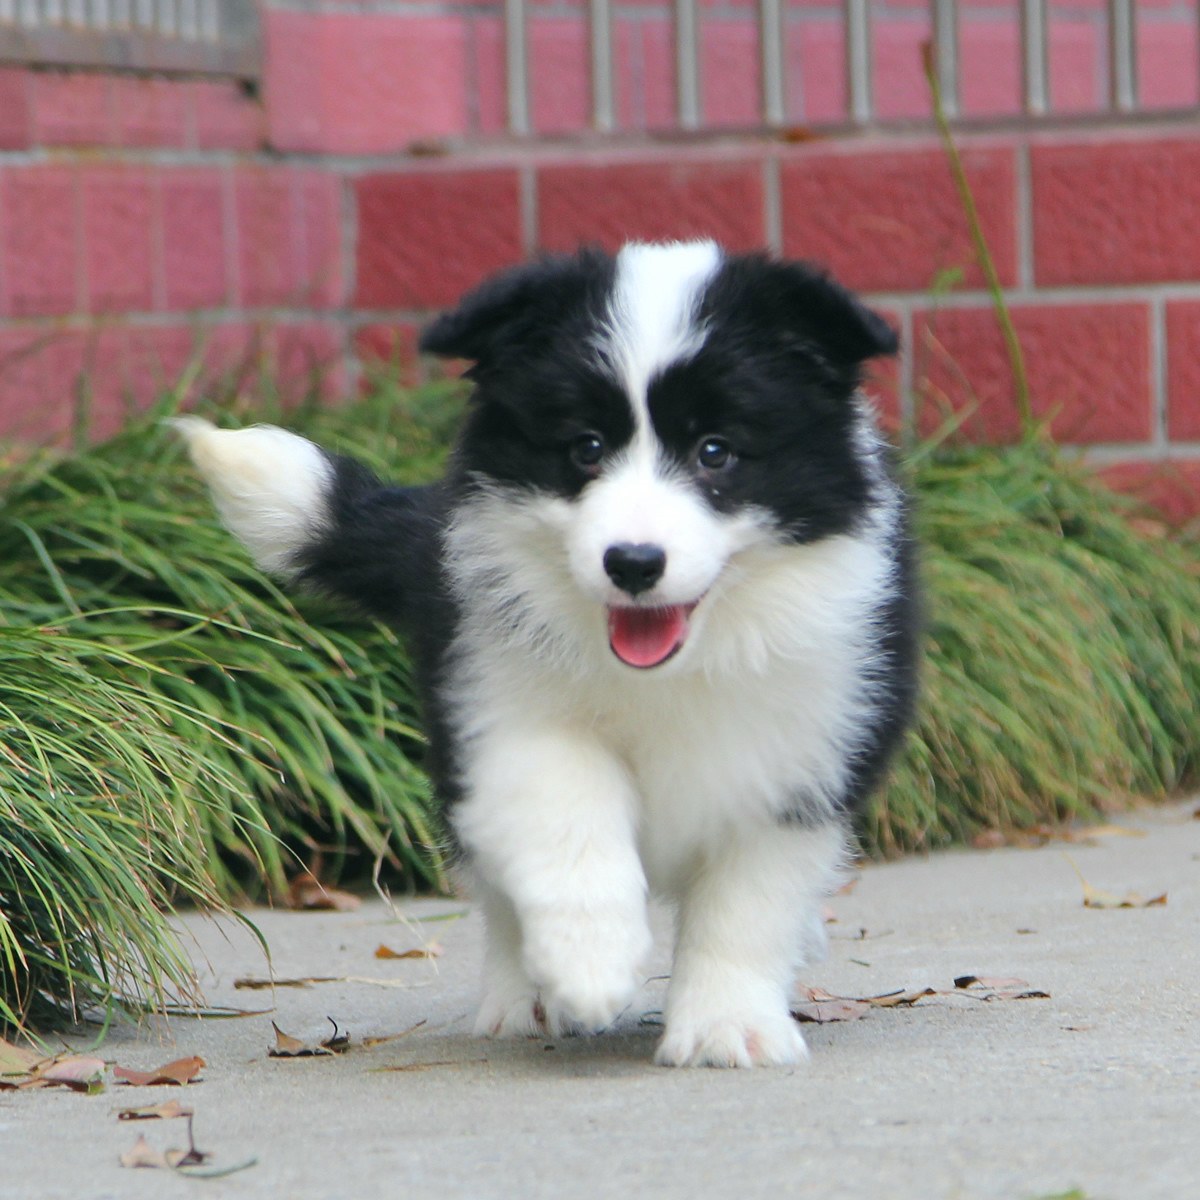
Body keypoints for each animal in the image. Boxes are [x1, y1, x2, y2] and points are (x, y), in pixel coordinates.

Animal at [175, 241, 916, 1070]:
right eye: (585, 448)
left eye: (715, 452)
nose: (633, 563)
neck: (670, 668)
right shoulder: (498, 704)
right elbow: (567, 810)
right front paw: (591, 964)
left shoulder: (805, 747)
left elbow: (748, 900)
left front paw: (728, 1027)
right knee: (498, 890)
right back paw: (521, 997)